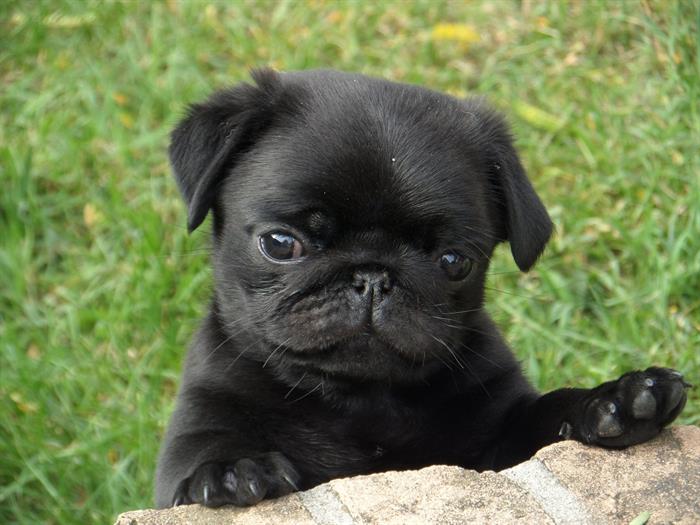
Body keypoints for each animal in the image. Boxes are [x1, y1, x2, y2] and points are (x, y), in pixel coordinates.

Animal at [154, 69, 688, 508]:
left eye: (454, 261)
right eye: (280, 244)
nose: (372, 276)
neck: (361, 400)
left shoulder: (502, 438)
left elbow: (547, 412)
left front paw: (617, 399)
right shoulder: (199, 422)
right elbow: (205, 448)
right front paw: (230, 469)